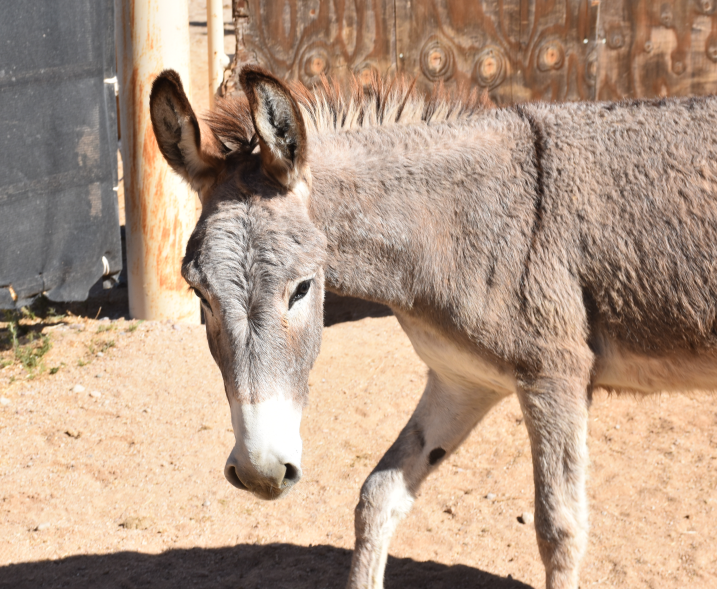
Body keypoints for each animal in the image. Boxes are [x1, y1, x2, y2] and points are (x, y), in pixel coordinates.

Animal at [149, 67, 717, 589]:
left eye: (303, 288)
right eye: (199, 294)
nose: (261, 472)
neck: (453, 226)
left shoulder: (555, 377)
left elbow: (561, 529)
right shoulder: (462, 379)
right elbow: (378, 496)